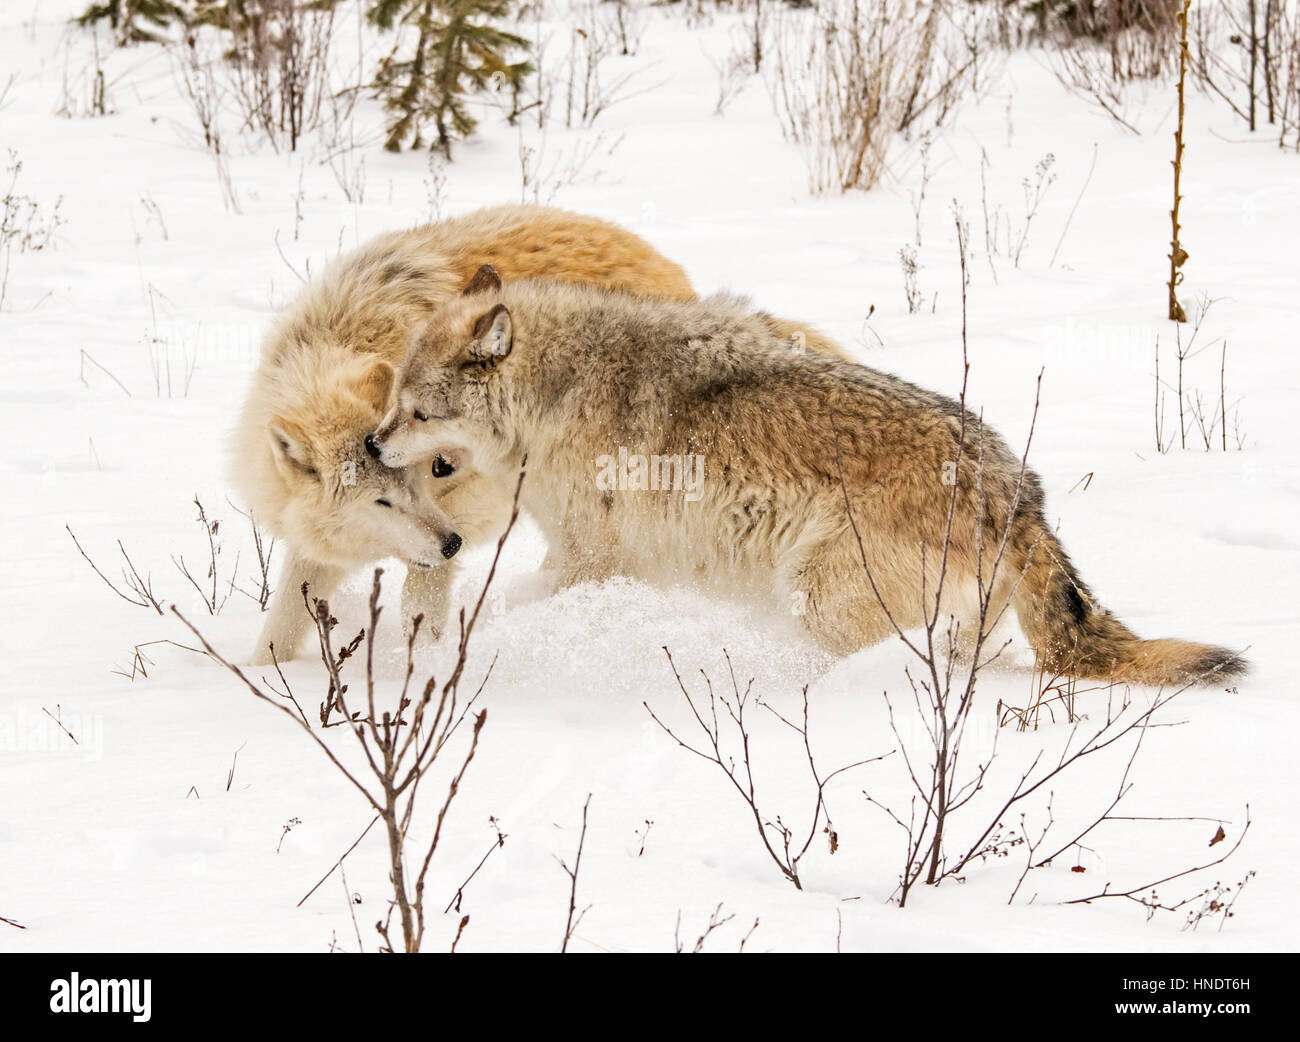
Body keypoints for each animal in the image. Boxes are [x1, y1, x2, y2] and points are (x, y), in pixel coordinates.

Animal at [370, 271, 1244, 687]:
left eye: (416, 411)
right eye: (392, 402)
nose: (373, 445)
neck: (555, 392)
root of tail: (1016, 488)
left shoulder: (593, 560)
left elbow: (527, 604)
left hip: (815, 593)